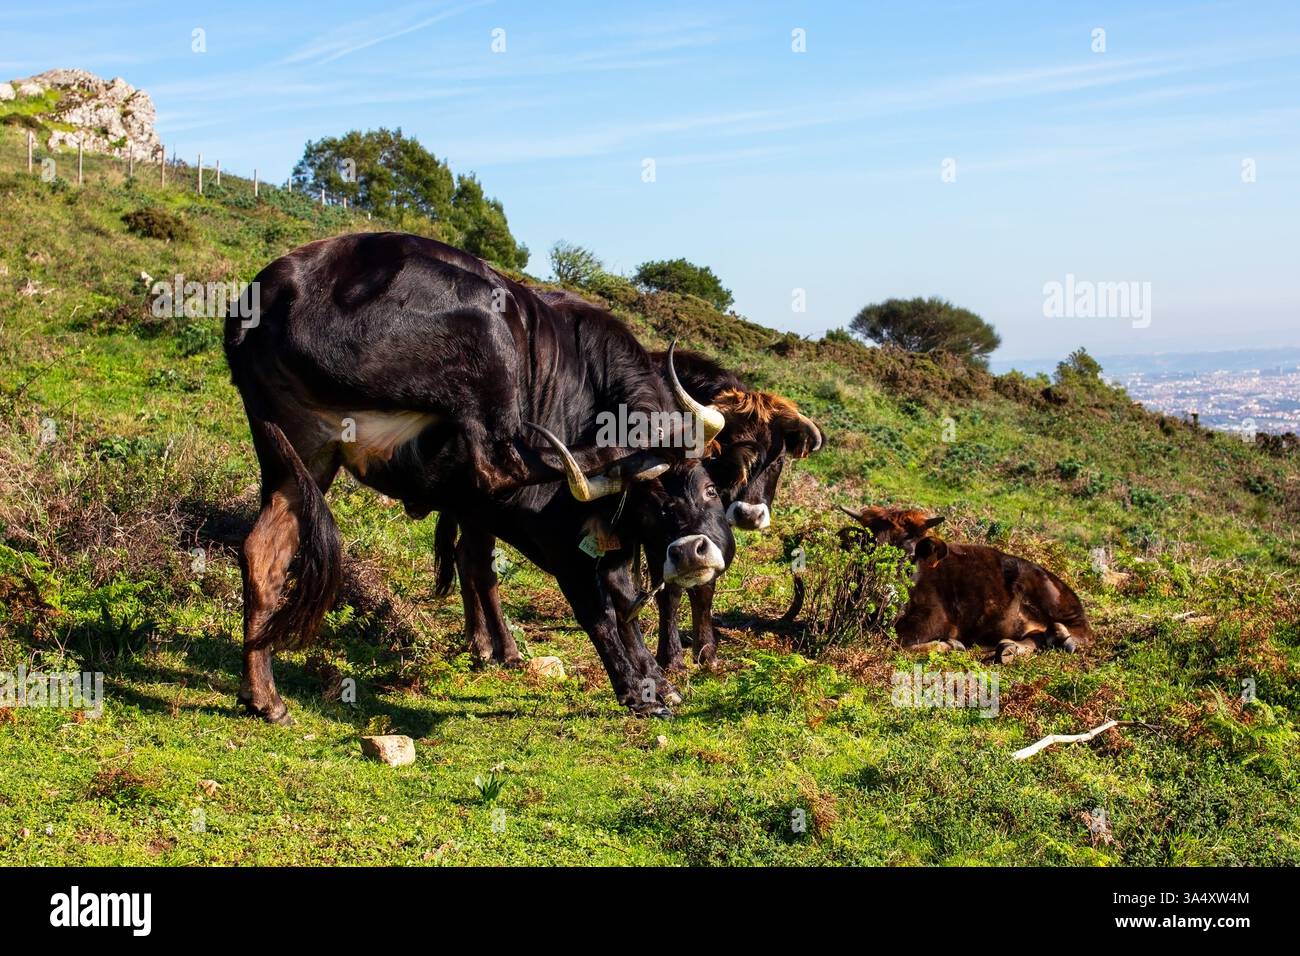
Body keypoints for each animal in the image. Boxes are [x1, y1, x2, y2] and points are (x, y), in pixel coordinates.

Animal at [222, 232, 735, 724]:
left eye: (708, 489)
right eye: (653, 498)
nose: (690, 551)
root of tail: (272, 289)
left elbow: (621, 598)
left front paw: (656, 682)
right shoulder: (553, 531)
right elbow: (600, 609)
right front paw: (638, 692)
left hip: (303, 455)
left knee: (263, 553)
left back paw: (264, 697)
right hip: (487, 336)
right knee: (496, 465)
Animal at [433, 338, 824, 672]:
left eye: (777, 459)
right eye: (733, 442)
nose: (749, 514)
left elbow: (705, 585)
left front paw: (706, 652)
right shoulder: (657, 537)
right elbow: (670, 590)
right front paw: (672, 658)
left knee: (463, 558)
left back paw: (478, 642)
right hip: (479, 517)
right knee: (481, 568)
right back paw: (503, 649)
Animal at [837, 506, 1094, 662]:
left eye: (910, 555)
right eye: (868, 549)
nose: (883, 596)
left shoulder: (932, 621)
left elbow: (897, 643)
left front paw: (952, 645)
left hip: (1053, 600)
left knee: (1084, 632)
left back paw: (1064, 637)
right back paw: (1009, 649)